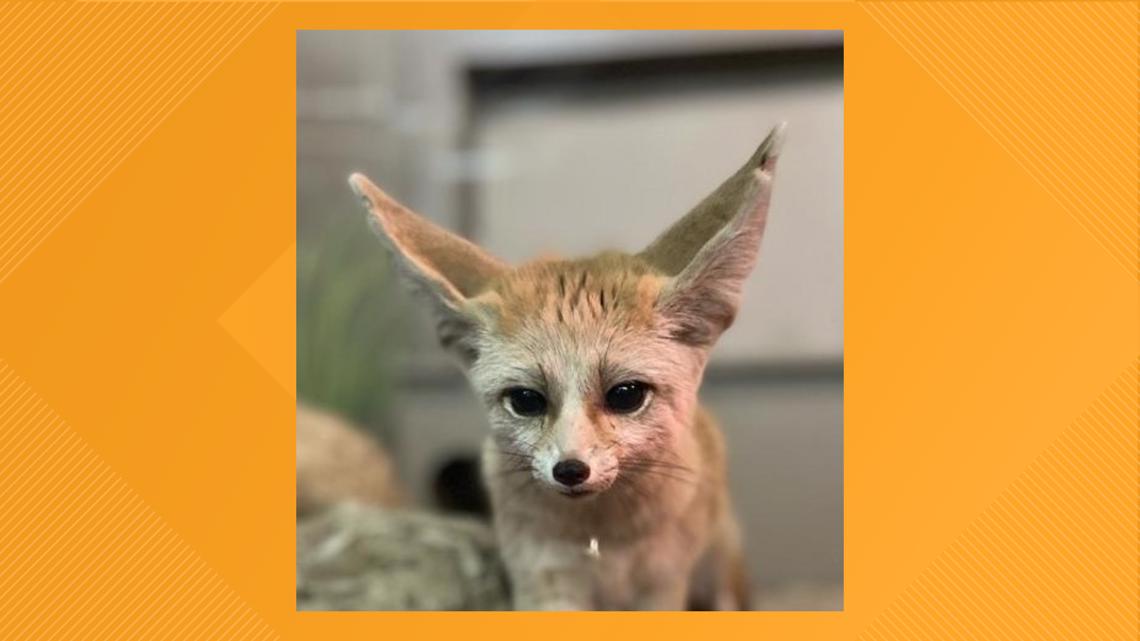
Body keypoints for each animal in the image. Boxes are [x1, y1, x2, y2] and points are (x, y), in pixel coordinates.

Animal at [348, 123, 786, 610]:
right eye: (525, 400)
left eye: (626, 395)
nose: (571, 470)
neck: (600, 542)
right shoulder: (544, 579)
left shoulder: (660, 585)